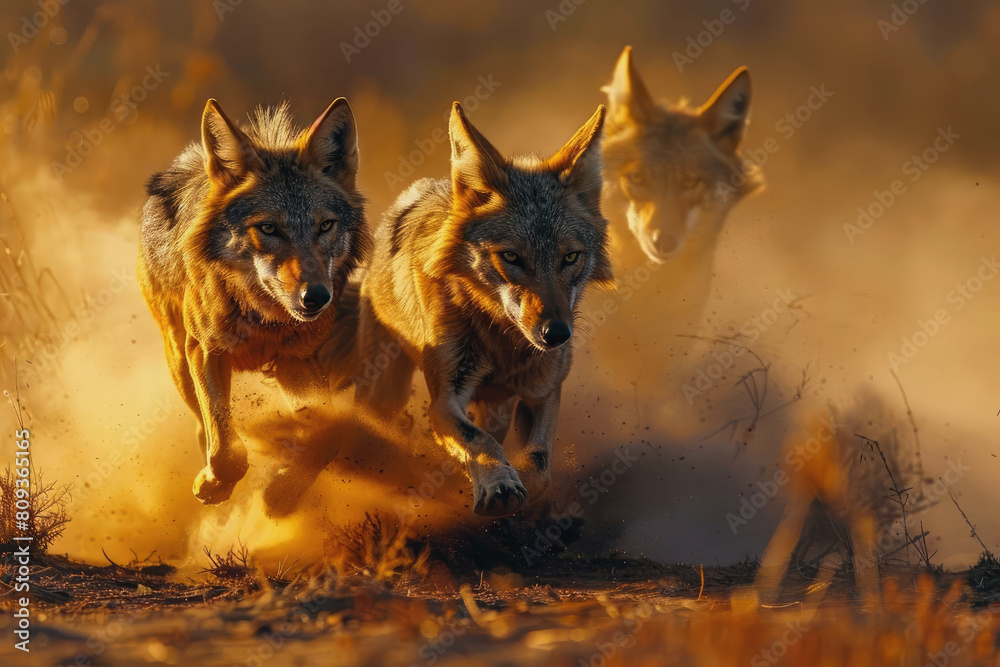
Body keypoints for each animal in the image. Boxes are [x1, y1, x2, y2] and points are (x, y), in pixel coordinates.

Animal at [137, 98, 369, 505]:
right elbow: (226, 448)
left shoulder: (295, 360)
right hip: (178, 357)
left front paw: (280, 496)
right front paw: (216, 483)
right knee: (202, 427)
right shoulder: (204, 351)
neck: (261, 317)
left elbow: (328, 437)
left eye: (325, 226)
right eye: (268, 228)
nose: (317, 297)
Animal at [356, 102, 612, 517]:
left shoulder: (543, 392)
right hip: (382, 396)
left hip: (496, 406)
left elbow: (539, 464)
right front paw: (499, 485)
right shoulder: (445, 400)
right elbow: (478, 441)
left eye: (571, 257)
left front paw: (519, 489)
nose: (556, 334)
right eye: (511, 257)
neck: (503, 345)